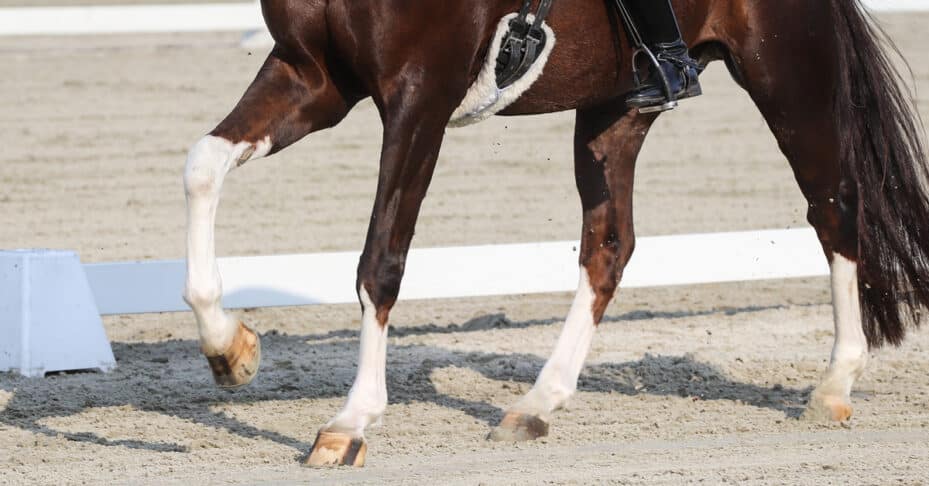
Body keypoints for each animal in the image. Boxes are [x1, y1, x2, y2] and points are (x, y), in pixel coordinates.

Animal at [181, 0, 929, 467]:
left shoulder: (418, 94)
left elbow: (382, 258)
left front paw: (350, 423)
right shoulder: (313, 76)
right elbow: (202, 164)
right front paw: (230, 349)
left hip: (786, 71)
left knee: (835, 210)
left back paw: (833, 386)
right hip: (615, 104)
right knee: (609, 246)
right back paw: (536, 405)